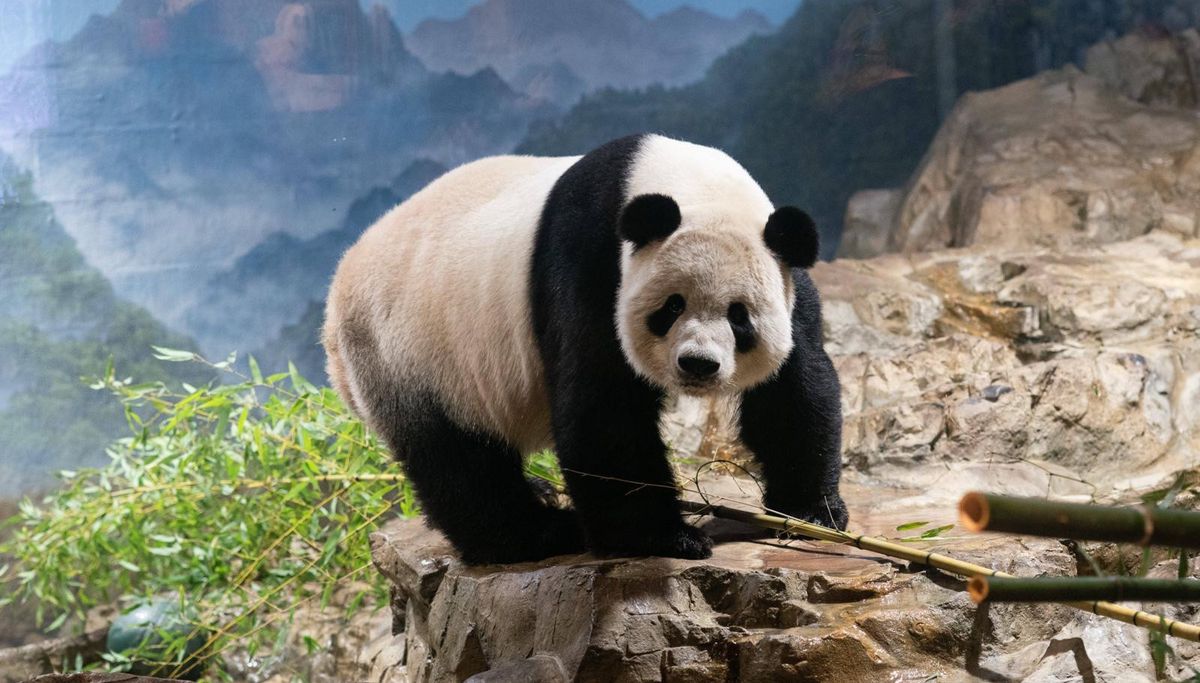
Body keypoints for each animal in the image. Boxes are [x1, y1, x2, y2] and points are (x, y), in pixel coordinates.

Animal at [322, 134, 846, 564]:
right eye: (672, 306)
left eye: (740, 316)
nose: (698, 364)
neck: (687, 182)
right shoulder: (589, 263)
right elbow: (602, 409)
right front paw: (663, 538)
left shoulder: (785, 273)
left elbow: (794, 391)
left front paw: (810, 512)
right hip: (411, 359)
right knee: (459, 462)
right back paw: (540, 534)